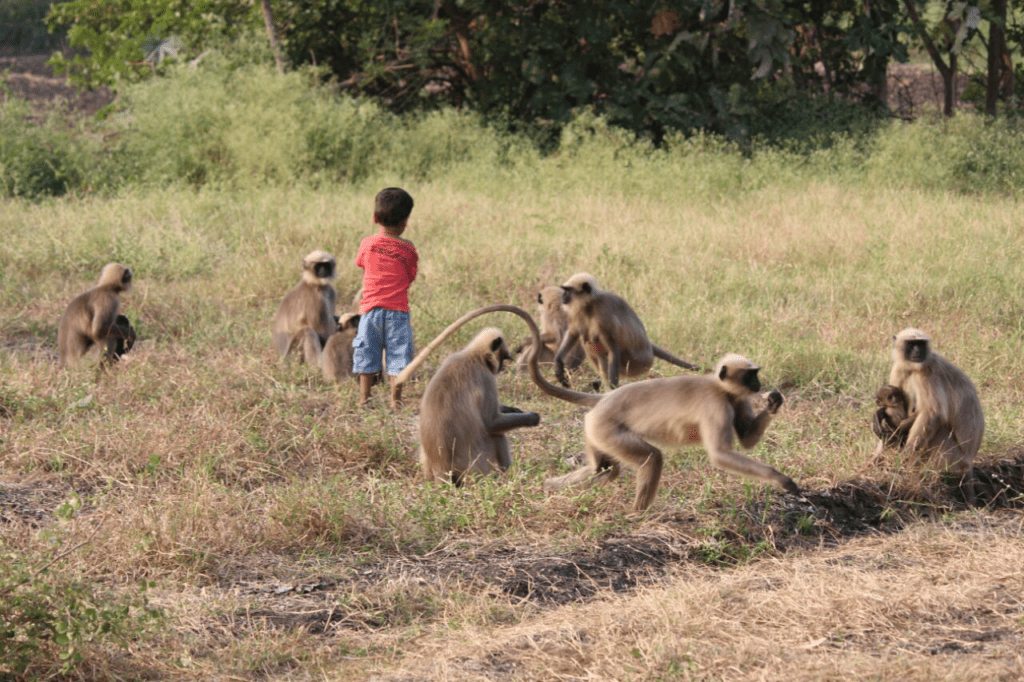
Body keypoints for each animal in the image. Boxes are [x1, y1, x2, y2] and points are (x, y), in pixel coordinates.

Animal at [526, 339, 798, 511]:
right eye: (750, 375)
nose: (758, 384)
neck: (720, 388)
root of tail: (604, 398)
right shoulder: (716, 404)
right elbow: (721, 455)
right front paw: (781, 480)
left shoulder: (737, 398)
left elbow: (747, 441)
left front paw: (774, 401)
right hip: (606, 428)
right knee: (650, 458)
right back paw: (638, 514)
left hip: (594, 430)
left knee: (602, 469)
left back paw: (550, 487)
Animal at [554, 273, 701, 389]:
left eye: (568, 291)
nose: (563, 297)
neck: (589, 306)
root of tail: (648, 345)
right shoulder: (576, 312)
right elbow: (573, 334)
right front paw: (558, 364)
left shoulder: (604, 315)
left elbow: (613, 349)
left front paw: (613, 390)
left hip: (639, 361)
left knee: (595, 343)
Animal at [886, 328, 983, 503]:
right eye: (911, 344)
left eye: (920, 344)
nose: (917, 351)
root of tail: (969, 462)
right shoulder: (900, 367)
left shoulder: (926, 372)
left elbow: (934, 414)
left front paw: (905, 455)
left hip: (954, 459)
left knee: (940, 427)